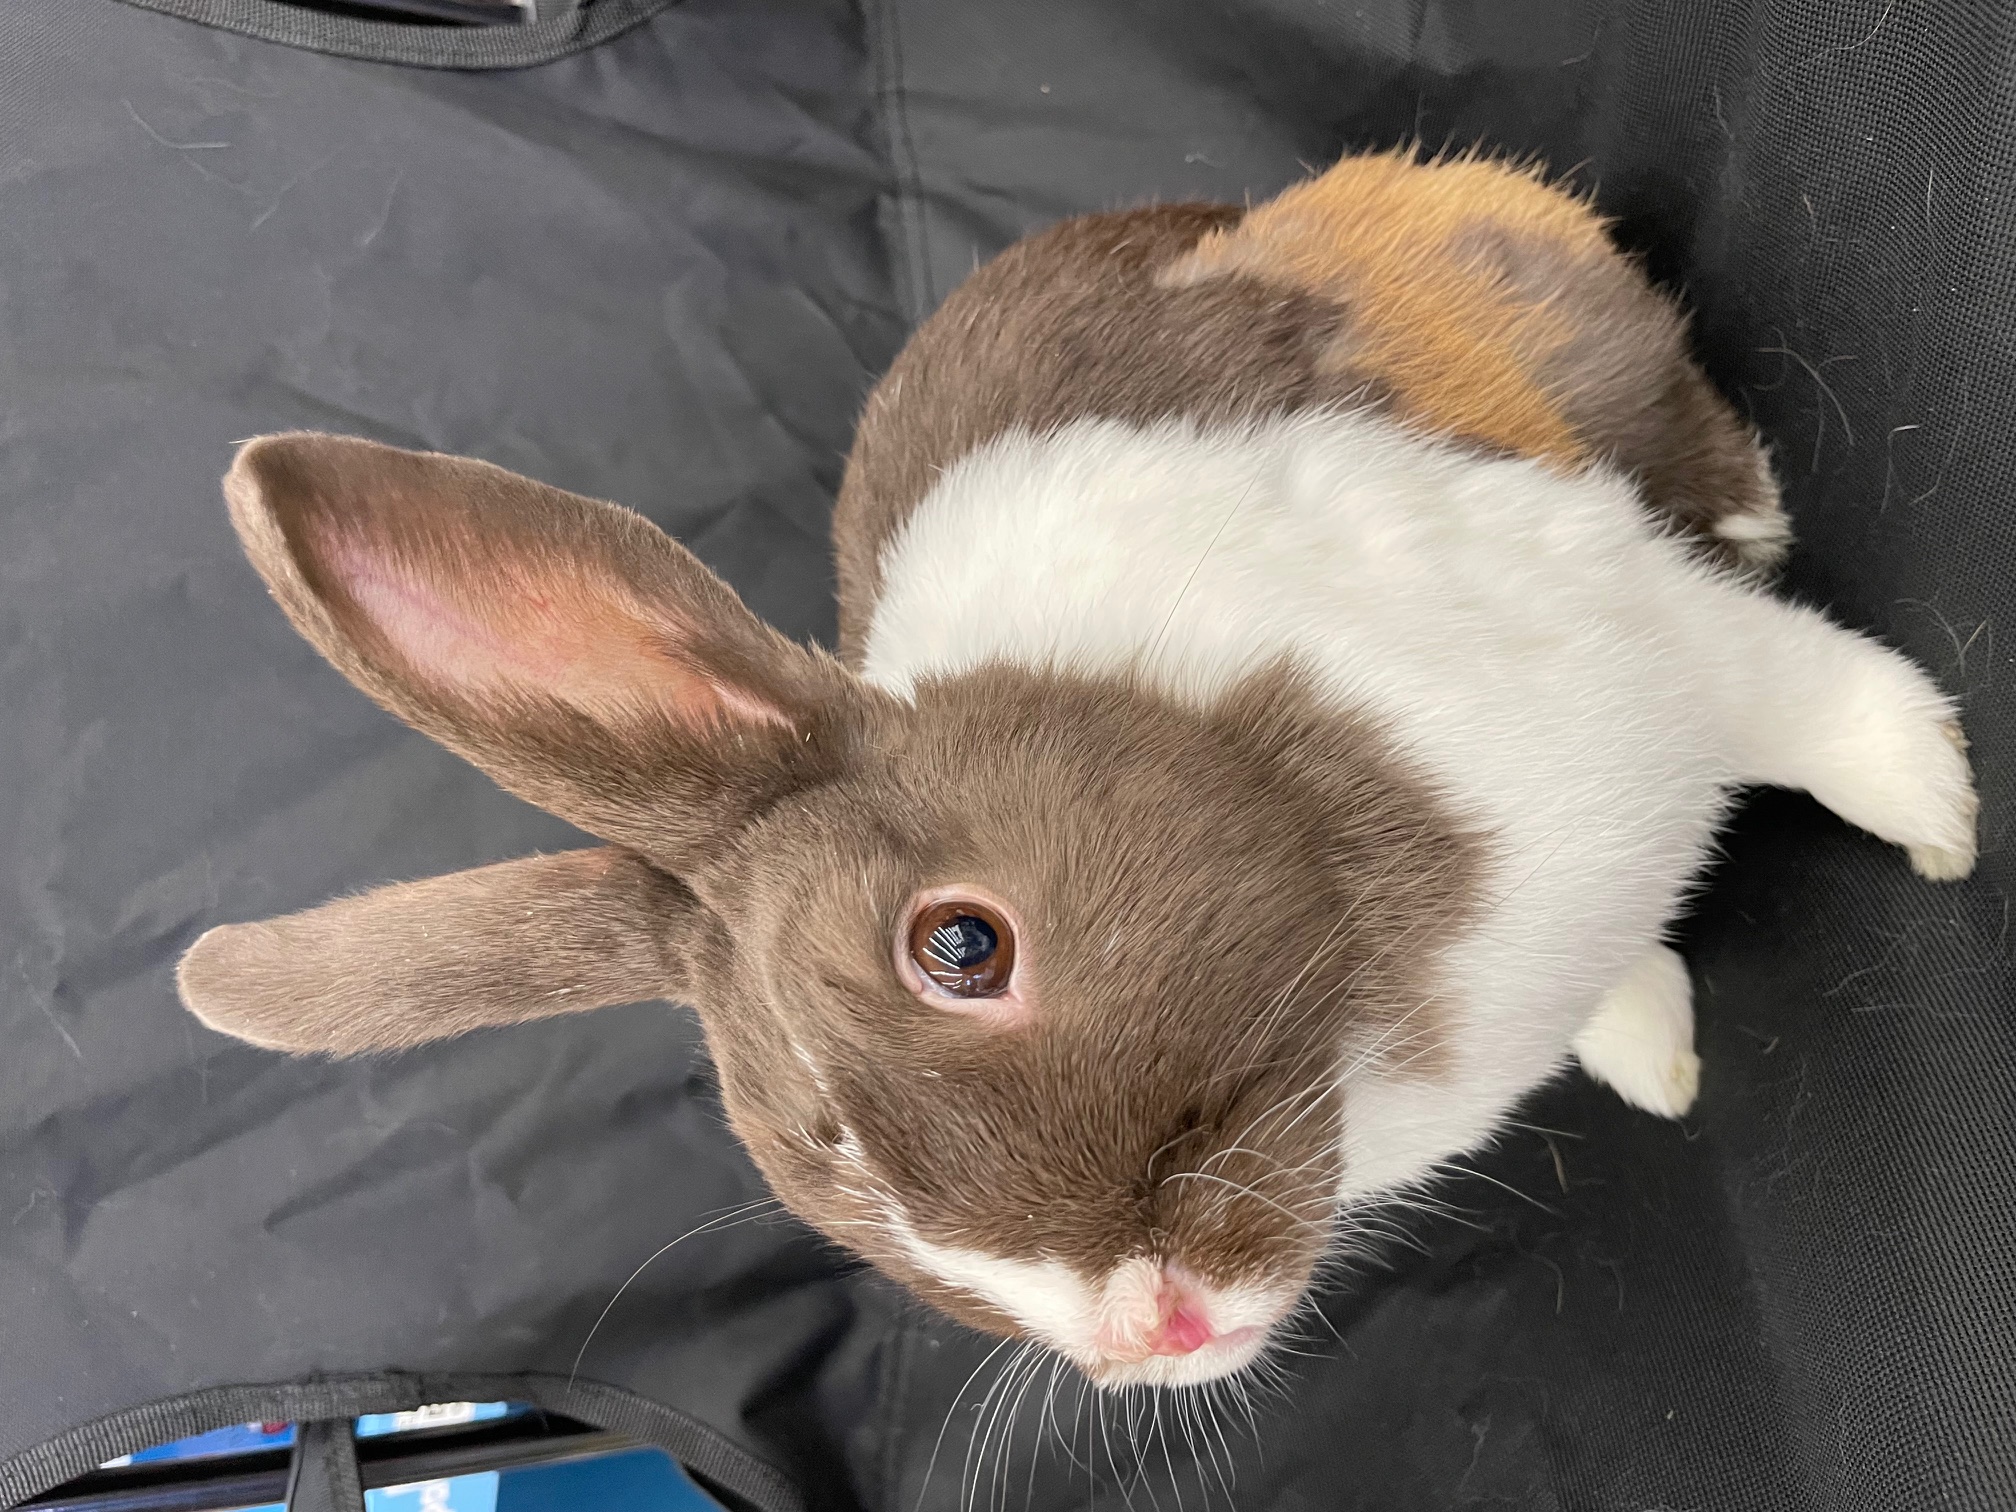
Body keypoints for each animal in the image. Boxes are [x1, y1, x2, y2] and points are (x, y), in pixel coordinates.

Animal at [177, 150, 1978, 1390]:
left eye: (960, 945)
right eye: (810, 1169)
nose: (1143, 1333)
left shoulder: (1627, 618)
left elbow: (1813, 704)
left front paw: (1945, 815)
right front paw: (1655, 1036)